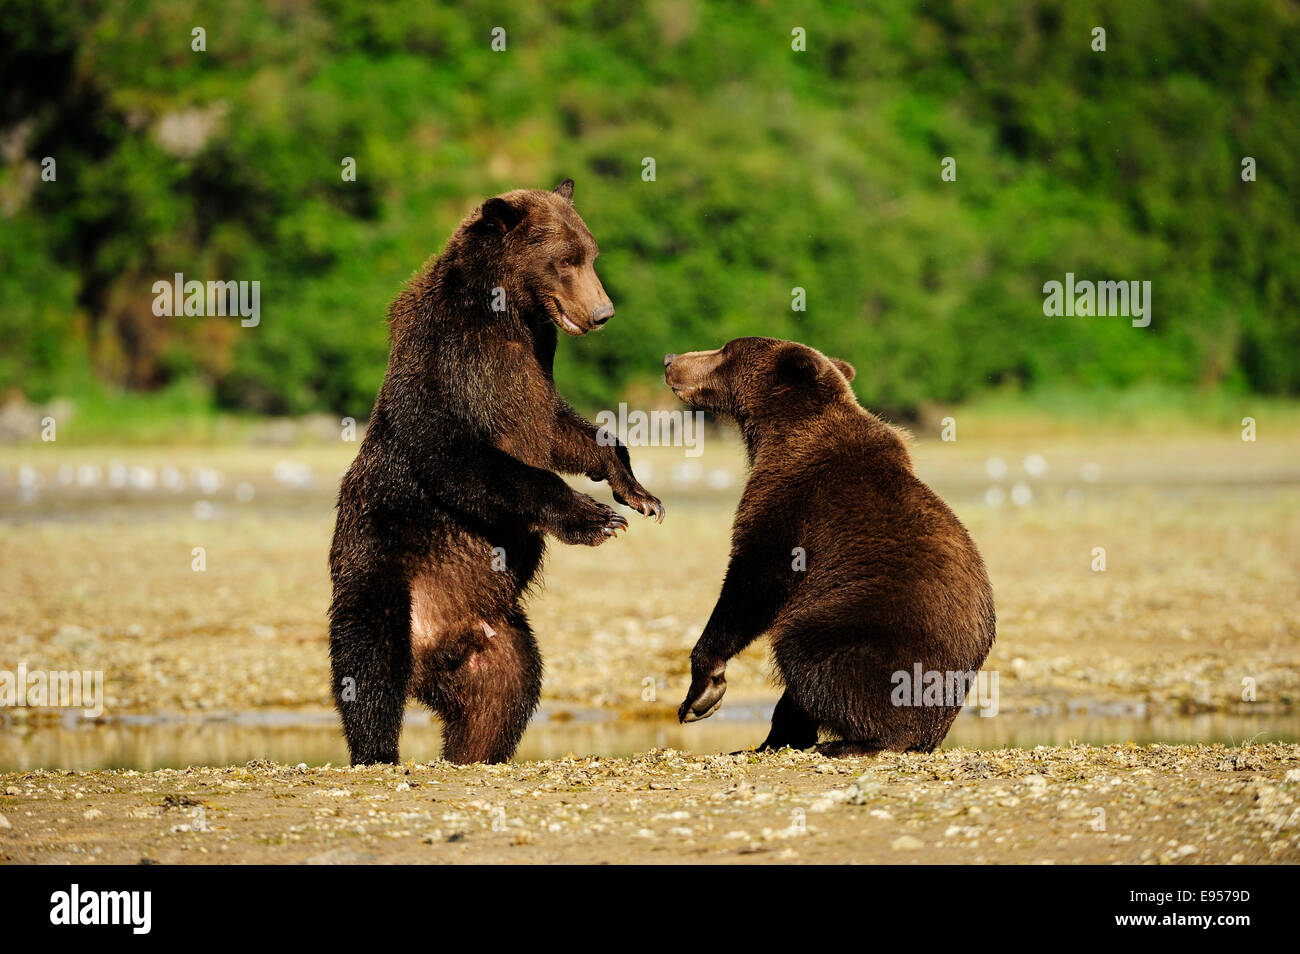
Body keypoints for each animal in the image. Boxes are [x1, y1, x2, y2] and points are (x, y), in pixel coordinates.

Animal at [329, 179, 663, 765]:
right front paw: (597, 519)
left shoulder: (534, 366)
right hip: (381, 570)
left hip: (499, 637)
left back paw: (474, 751)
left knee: (505, 696)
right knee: (368, 669)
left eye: (592, 254)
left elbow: (566, 432)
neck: (506, 316)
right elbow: (464, 460)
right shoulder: (448, 365)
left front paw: (638, 494)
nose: (603, 312)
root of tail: (432, 652)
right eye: (566, 259)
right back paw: (378, 752)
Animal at [665, 337, 995, 756]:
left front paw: (702, 690)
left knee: (806, 653)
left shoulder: (791, 503)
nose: (670, 360)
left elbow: (753, 582)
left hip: (864, 627)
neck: (779, 430)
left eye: (725, 351)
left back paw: (852, 741)